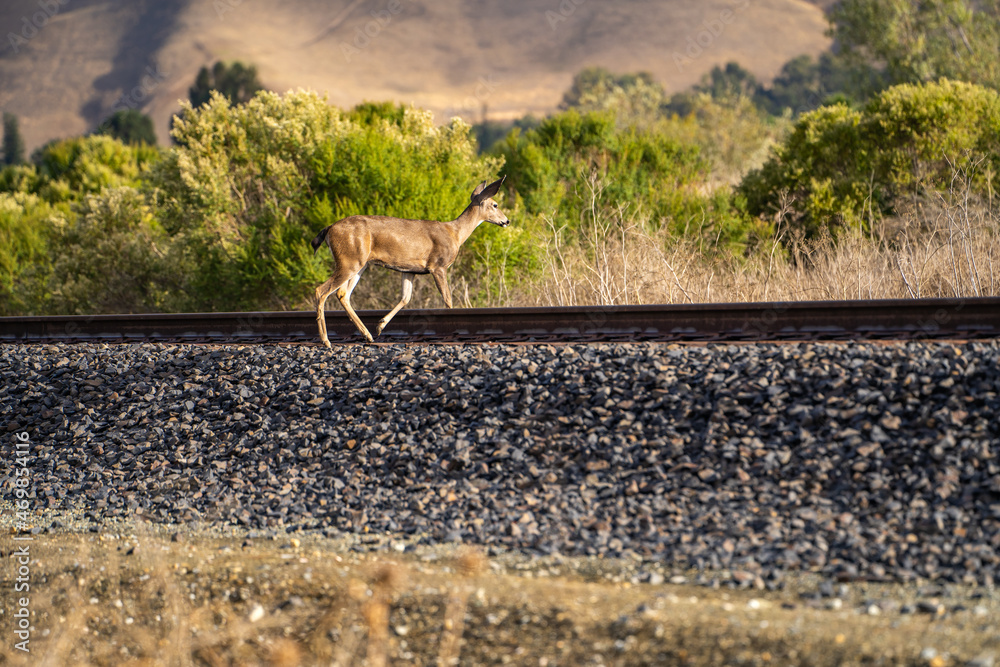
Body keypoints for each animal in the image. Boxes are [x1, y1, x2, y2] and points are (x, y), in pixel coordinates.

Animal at [311, 176, 509, 346]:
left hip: (359, 263)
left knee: (343, 293)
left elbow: (406, 298)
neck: (455, 234)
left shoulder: (410, 270)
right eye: (495, 204)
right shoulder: (438, 265)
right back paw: (326, 341)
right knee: (321, 290)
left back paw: (368, 335)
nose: (506, 221)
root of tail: (329, 229)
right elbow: (447, 299)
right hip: (349, 260)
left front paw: (380, 325)